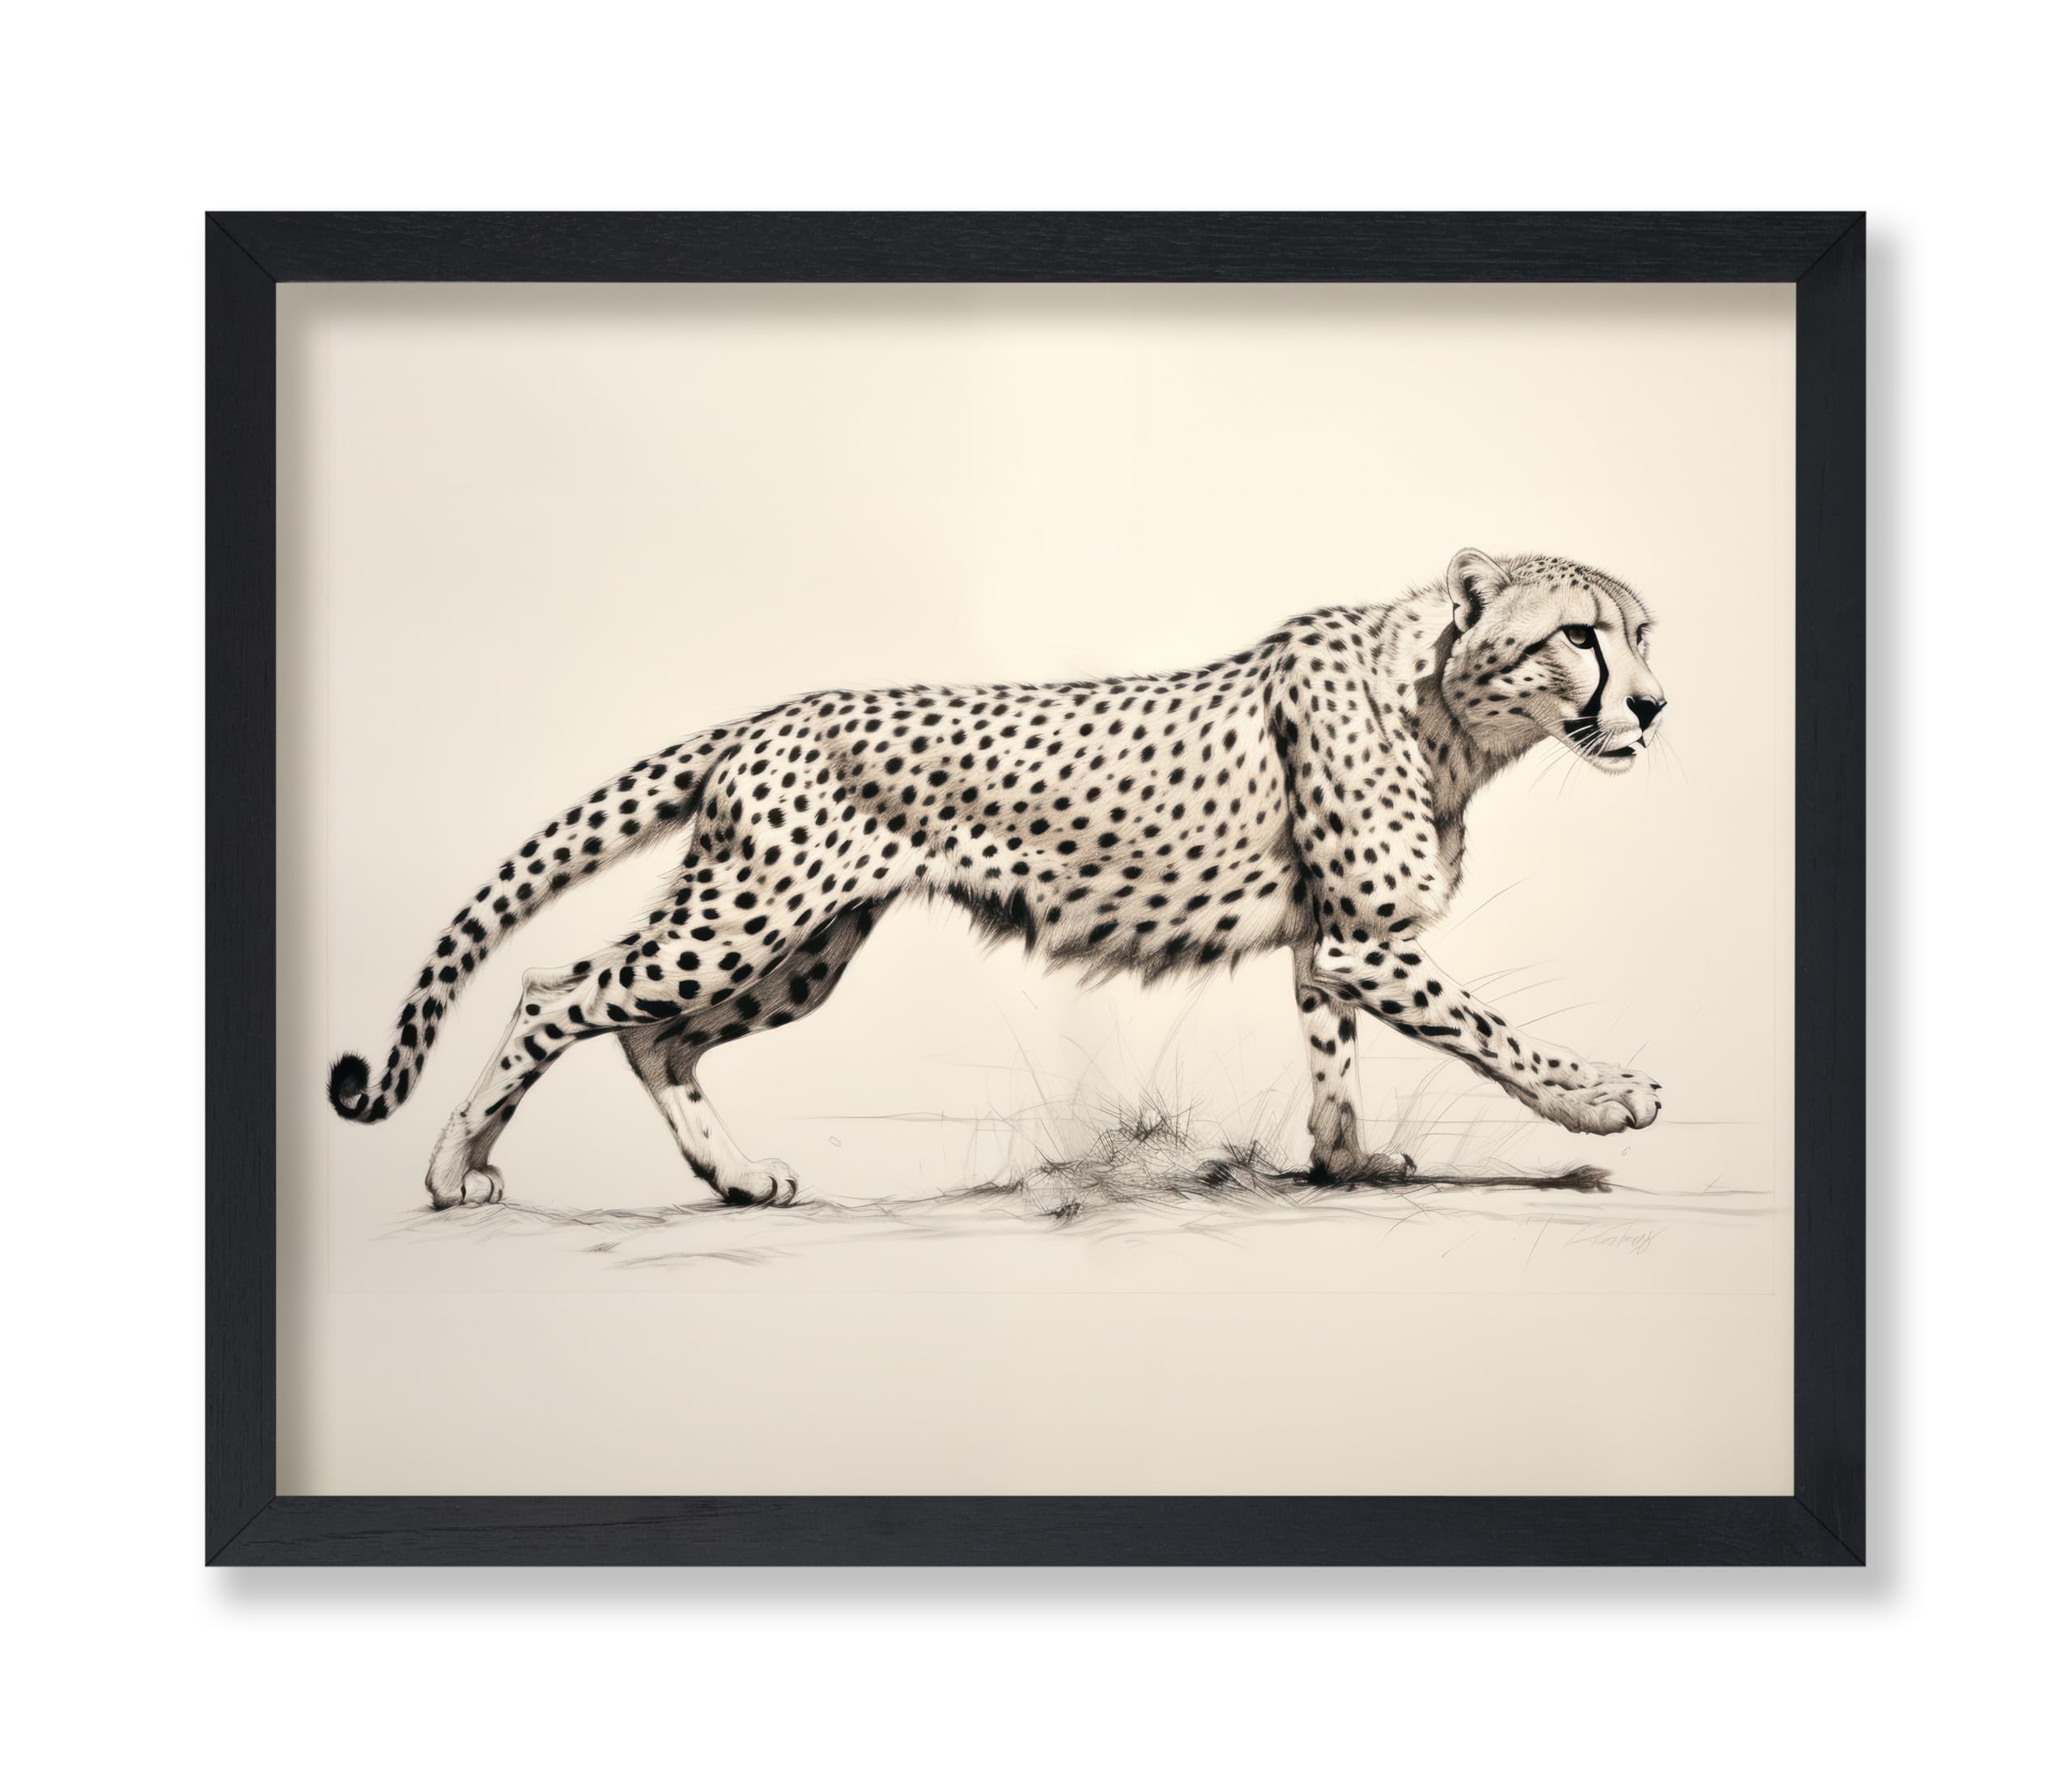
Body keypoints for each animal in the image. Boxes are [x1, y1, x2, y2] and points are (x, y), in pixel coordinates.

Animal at [328, 548, 1668, 1210]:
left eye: (1644, 631)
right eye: (1579, 635)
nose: (1654, 706)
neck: (1446, 704)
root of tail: (765, 715)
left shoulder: (1328, 942)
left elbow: (1333, 1062)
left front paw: (1346, 1164)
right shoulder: (1361, 940)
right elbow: (1494, 1032)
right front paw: (1607, 1099)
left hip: (801, 949)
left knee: (654, 1034)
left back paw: (736, 1177)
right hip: (745, 918)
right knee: (558, 988)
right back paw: (452, 1171)